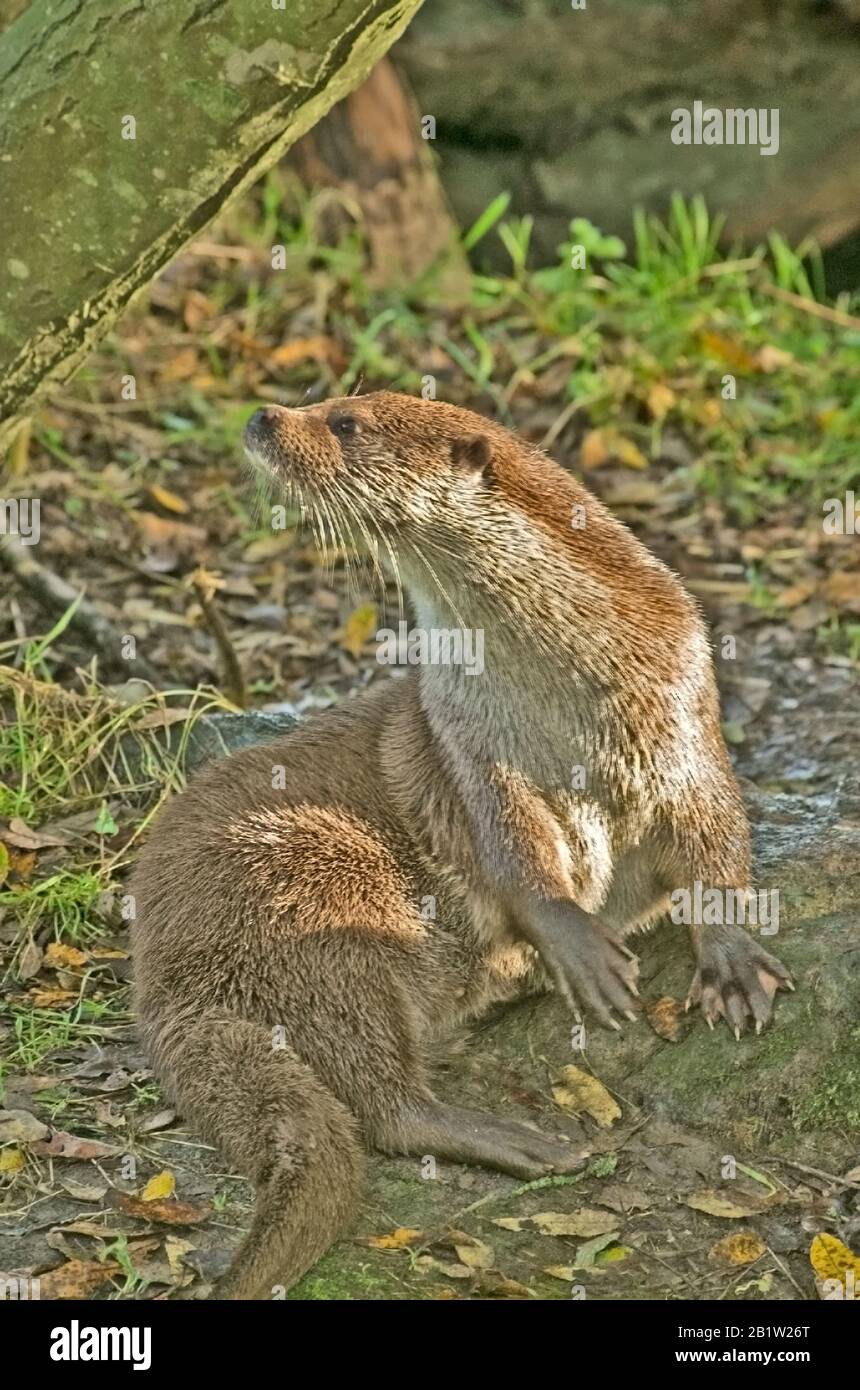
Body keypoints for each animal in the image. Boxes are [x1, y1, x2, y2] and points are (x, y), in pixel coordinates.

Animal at [130, 391, 792, 1299]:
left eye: (345, 421)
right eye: (328, 404)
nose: (265, 416)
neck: (565, 702)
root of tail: (162, 976)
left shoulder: (683, 706)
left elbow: (716, 834)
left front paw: (731, 960)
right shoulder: (470, 749)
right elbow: (516, 855)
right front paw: (577, 945)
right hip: (314, 891)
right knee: (380, 1103)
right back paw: (522, 1140)